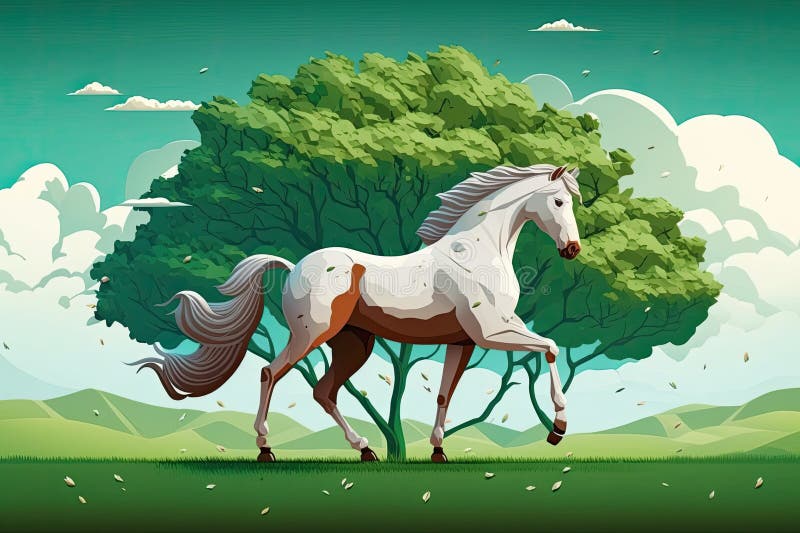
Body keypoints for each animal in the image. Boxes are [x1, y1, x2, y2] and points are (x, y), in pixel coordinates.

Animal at [131, 163, 583, 462]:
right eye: (559, 201)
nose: (573, 249)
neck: (475, 252)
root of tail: (292, 267)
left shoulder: (464, 342)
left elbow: (443, 394)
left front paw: (438, 450)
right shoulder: (491, 331)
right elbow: (550, 347)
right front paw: (558, 430)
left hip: (354, 344)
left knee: (323, 391)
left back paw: (365, 449)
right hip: (311, 335)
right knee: (269, 373)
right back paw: (266, 449)